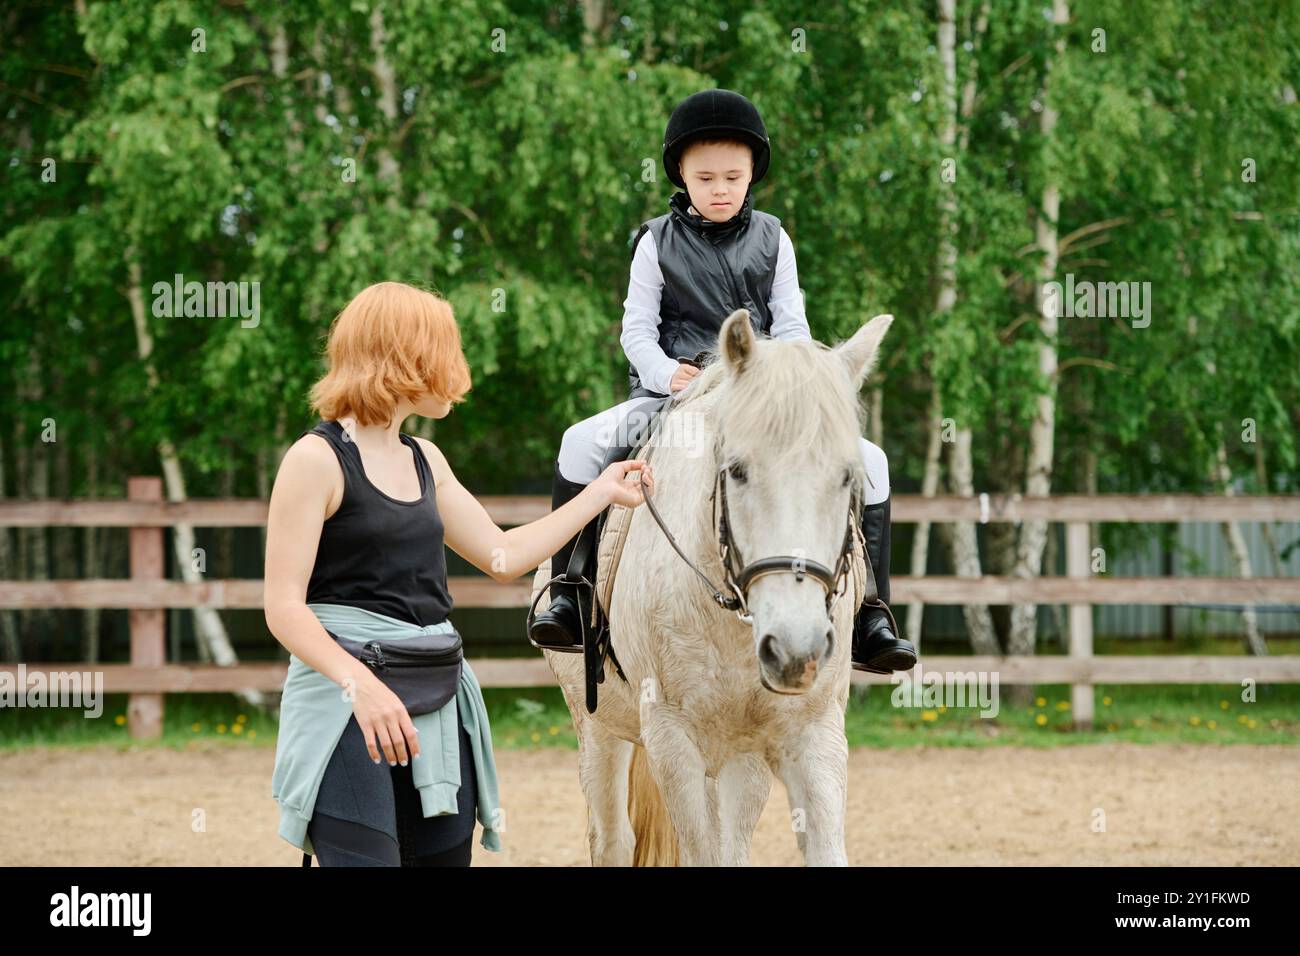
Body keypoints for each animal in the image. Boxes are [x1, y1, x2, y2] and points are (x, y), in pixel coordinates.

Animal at [530, 309, 894, 865]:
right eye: (737, 471)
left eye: (848, 478)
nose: (796, 650)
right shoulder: (672, 741)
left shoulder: (814, 735)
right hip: (599, 728)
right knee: (612, 839)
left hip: (740, 758)